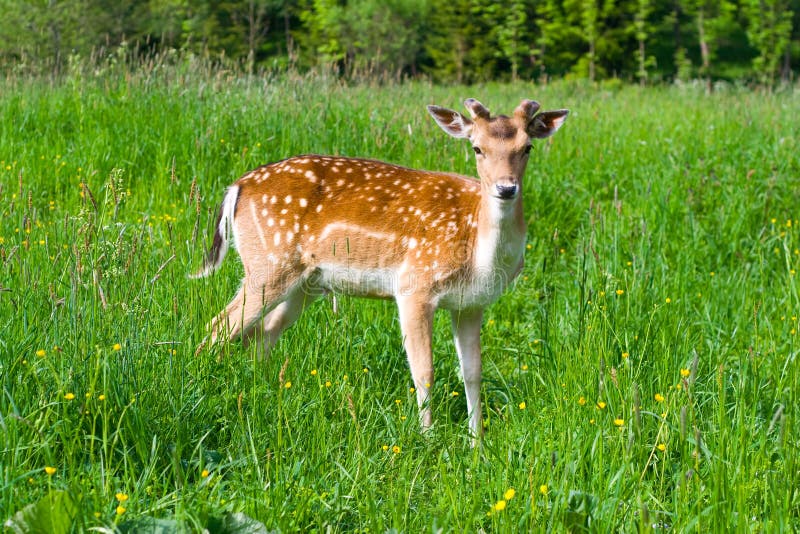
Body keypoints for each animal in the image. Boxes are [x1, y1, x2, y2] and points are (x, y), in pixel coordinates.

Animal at [192, 98, 568, 440]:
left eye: (527, 147)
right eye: (477, 147)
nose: (506, 188)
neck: (478, 251)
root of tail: (235, 187)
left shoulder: (471, 304)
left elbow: (473, 372)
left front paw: (477, 442)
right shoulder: (414, 285)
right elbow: (424, 370)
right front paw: (428, 439)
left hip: (304, 283)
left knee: (260, 334)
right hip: (267, 263)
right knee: (218, 328)